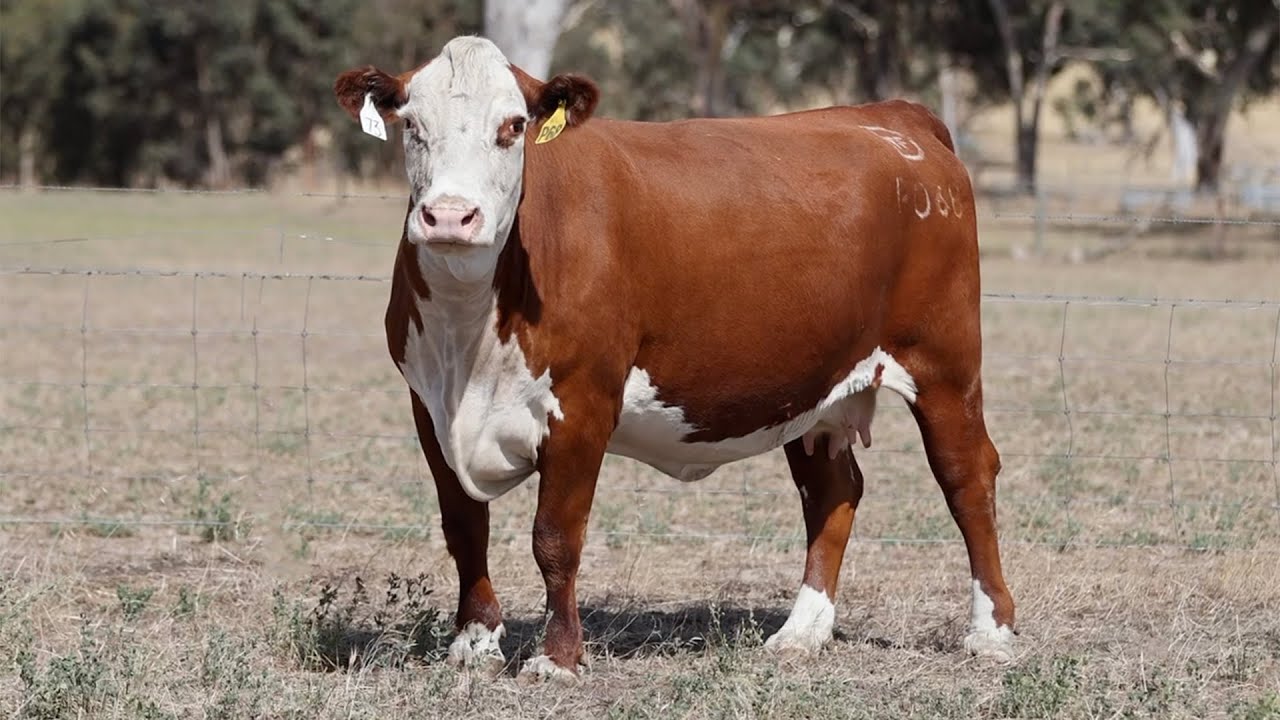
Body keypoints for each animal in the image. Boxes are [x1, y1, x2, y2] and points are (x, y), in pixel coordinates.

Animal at [333, 36, 1015, 683]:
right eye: (412, 125)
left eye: (513, 126)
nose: (450, 216)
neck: (470, 334)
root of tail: (894, 115)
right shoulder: (429, 407)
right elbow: (464, 527)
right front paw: (473, 644)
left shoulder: (583, 404)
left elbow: (555, 538)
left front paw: (557, 658)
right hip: (816, 383)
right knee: (832, 490)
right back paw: (803, 631)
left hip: (945, 362)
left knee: (966, 476)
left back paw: (991, 632)